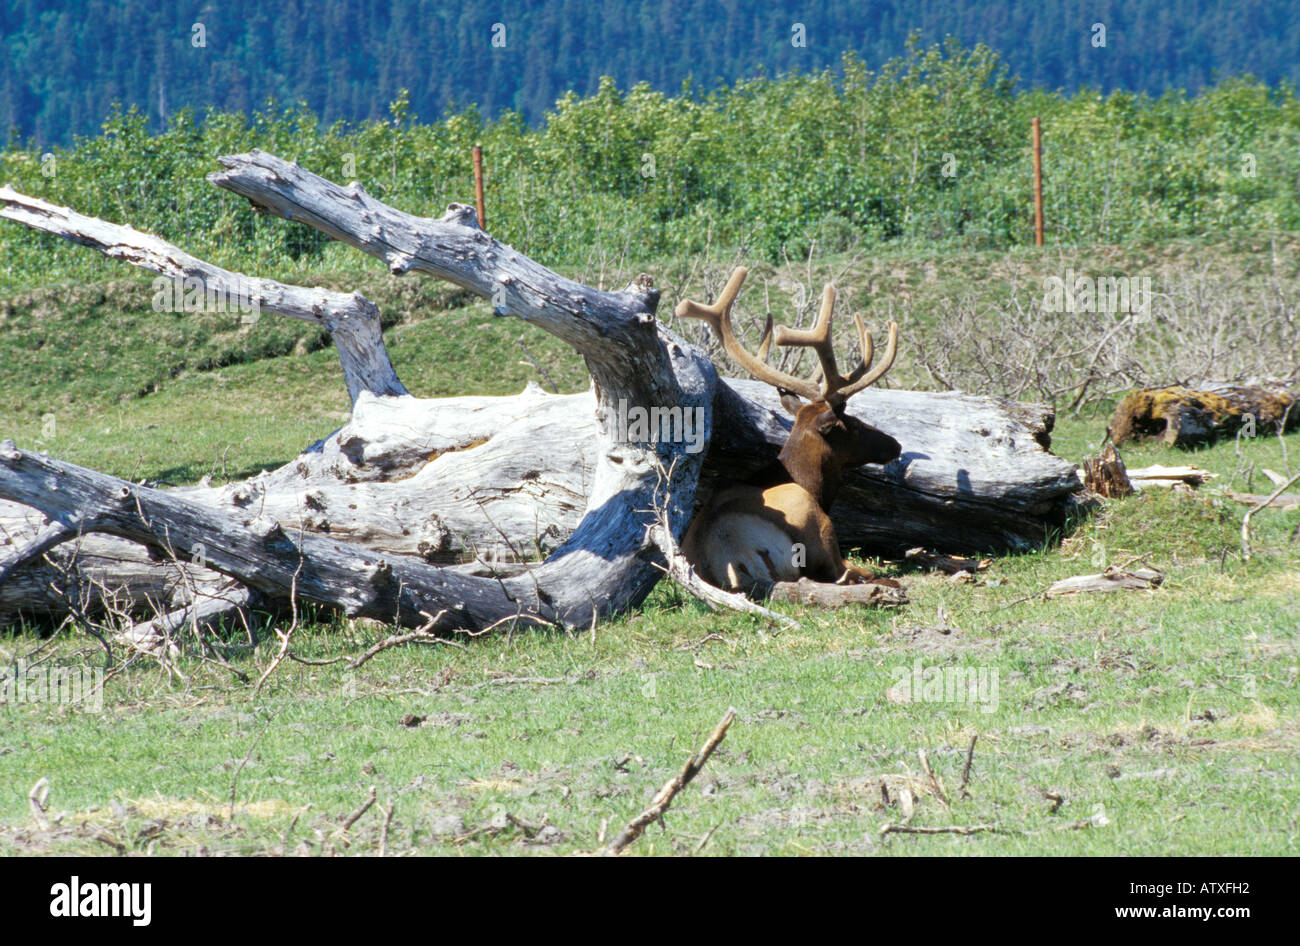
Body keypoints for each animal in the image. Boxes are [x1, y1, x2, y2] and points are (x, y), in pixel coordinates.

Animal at [675, 266, 902, 595]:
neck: (811, 483)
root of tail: (735, 558)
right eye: (854, 424)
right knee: (845, 574)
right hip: (814, 525)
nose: (895, 444)